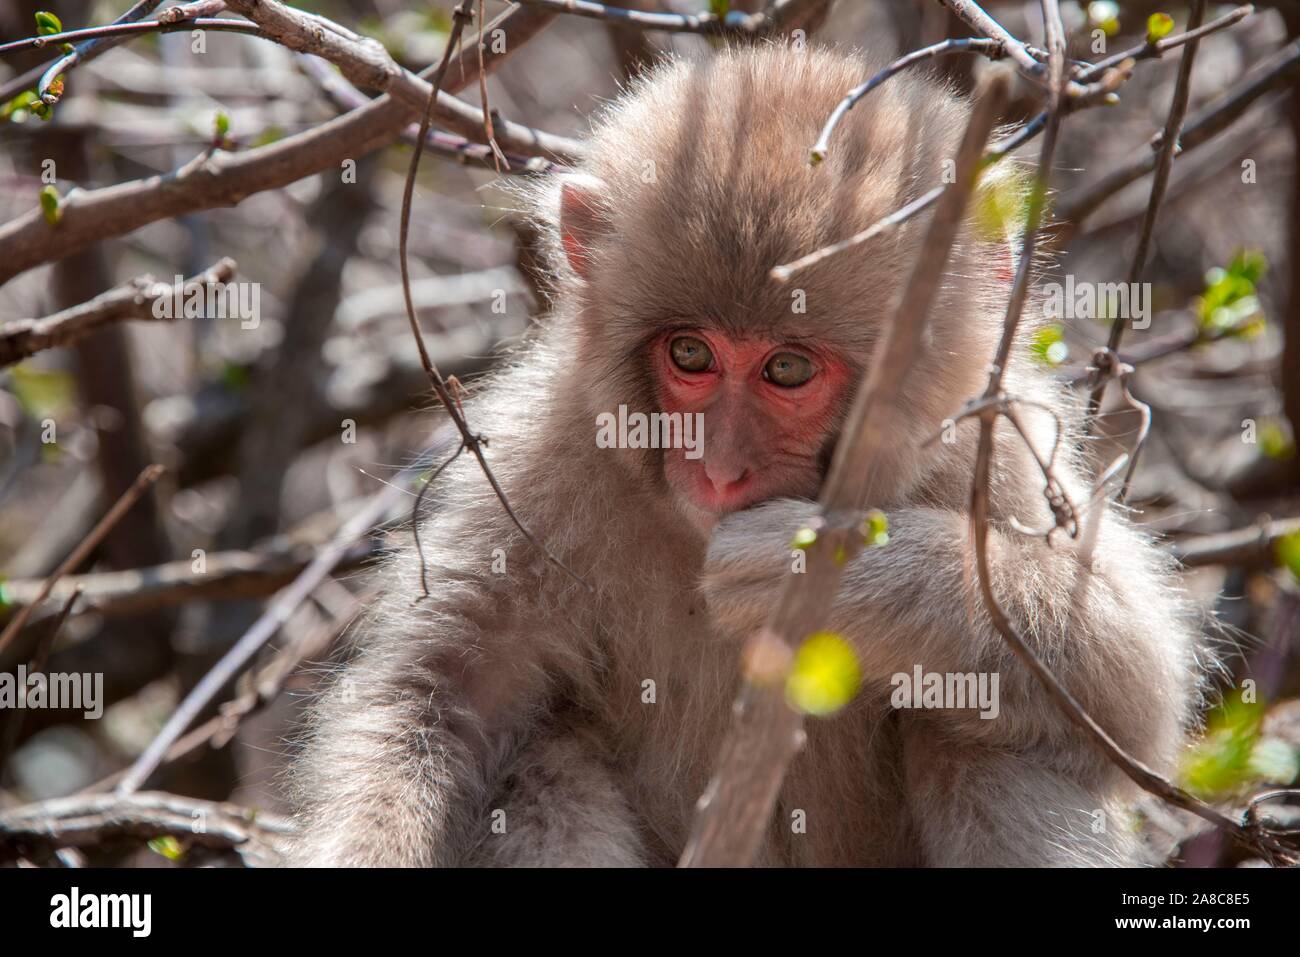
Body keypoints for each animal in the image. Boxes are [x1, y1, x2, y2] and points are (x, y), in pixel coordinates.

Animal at [286, 43, 1201, 867]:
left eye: (787, 369)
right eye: (690, 355)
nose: (719, 468)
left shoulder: (988, 443)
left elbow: (1133, 690)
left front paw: (816, 567)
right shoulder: (547, 458)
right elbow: (435, 702)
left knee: (986, 738)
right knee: (548, 751)